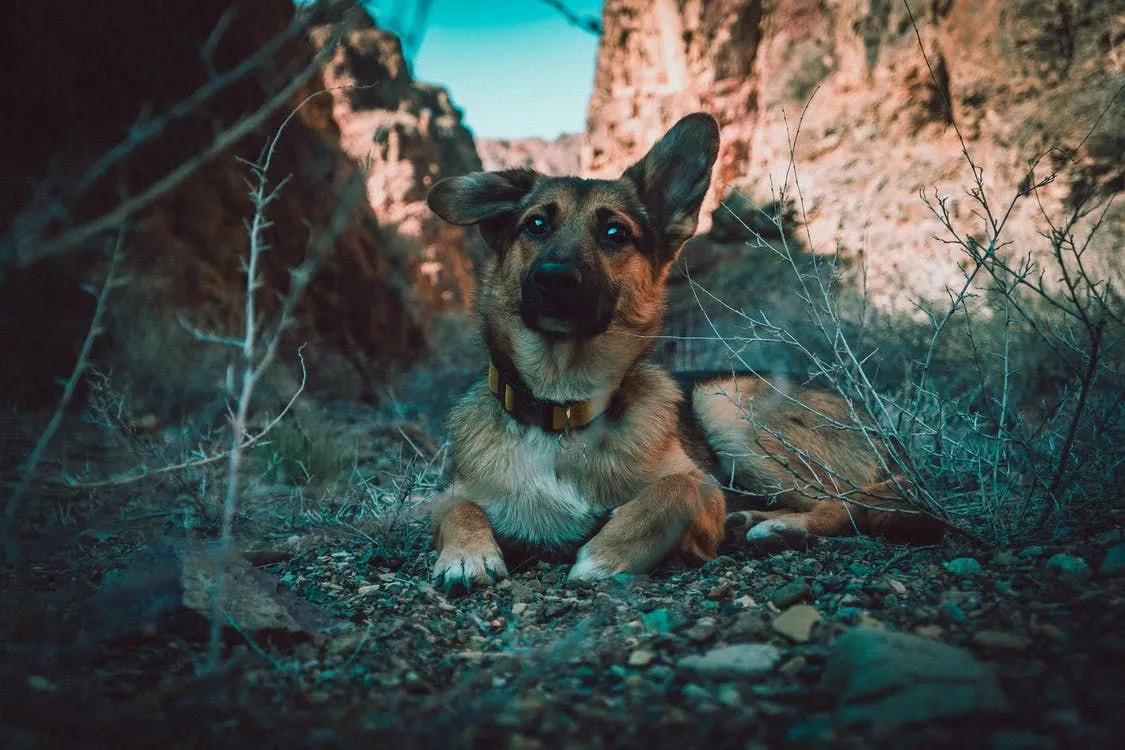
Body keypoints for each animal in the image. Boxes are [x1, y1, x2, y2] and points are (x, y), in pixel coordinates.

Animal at [423, 111, 940, 593]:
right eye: (535, 224)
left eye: (615, 233)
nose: (555, 279)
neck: (562, 410)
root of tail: (878, 427)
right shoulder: (453, 492)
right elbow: (454, 506)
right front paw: (466, 556)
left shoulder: (704, 493)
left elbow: (676, 488)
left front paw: (606, 555)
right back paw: (753, 521)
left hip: (727, 407)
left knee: (852, 501)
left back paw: (780, 527)